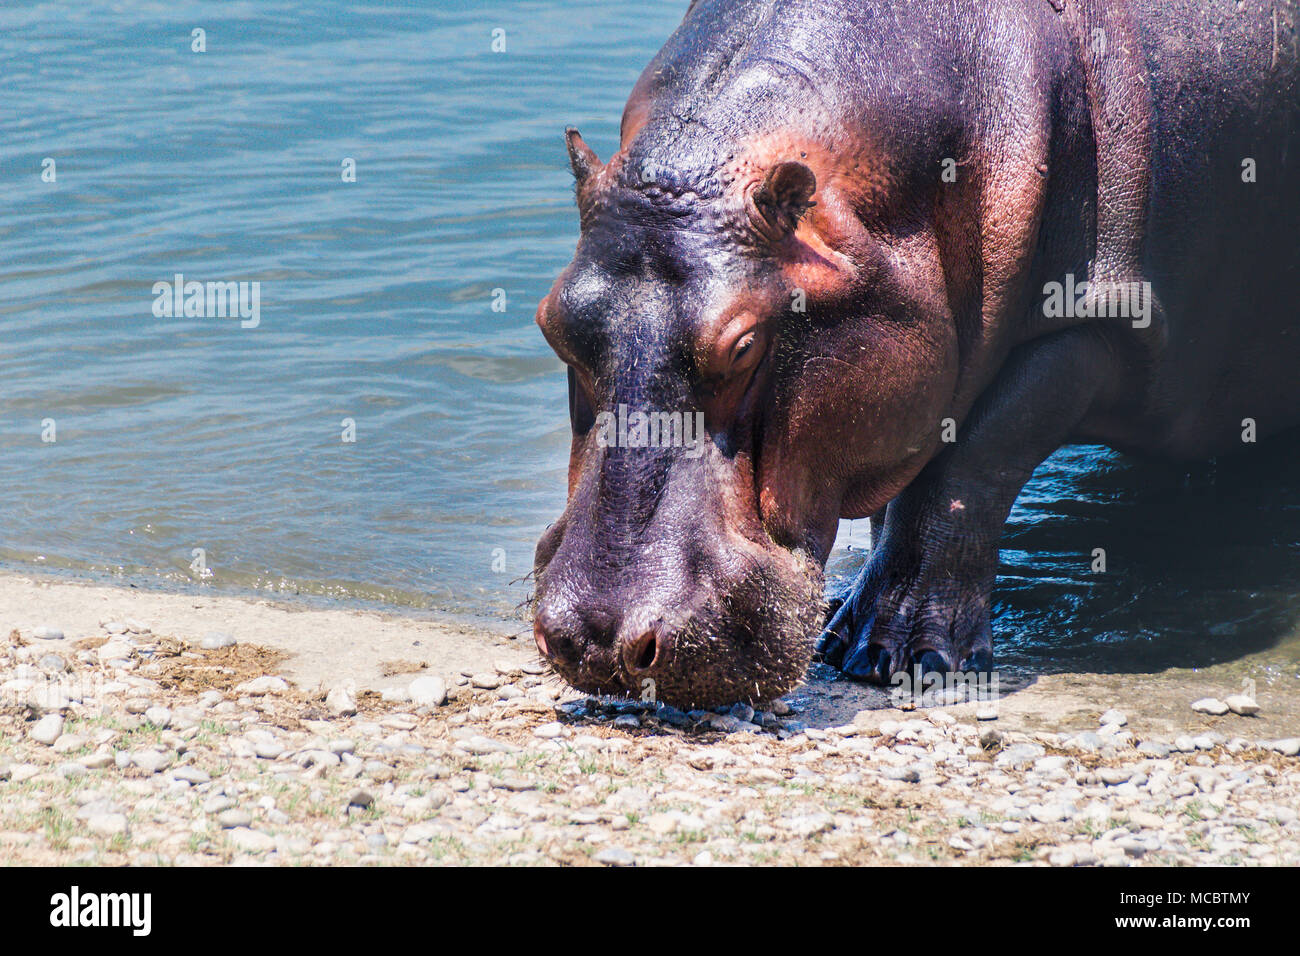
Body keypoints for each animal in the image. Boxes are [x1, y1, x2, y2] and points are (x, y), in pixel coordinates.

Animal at [531, 0, 1300, 708]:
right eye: (550, 321)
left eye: (745, 344)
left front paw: (906, 656)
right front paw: (849, 638)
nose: (599, 641)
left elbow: (971, 465)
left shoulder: (1093, 323)